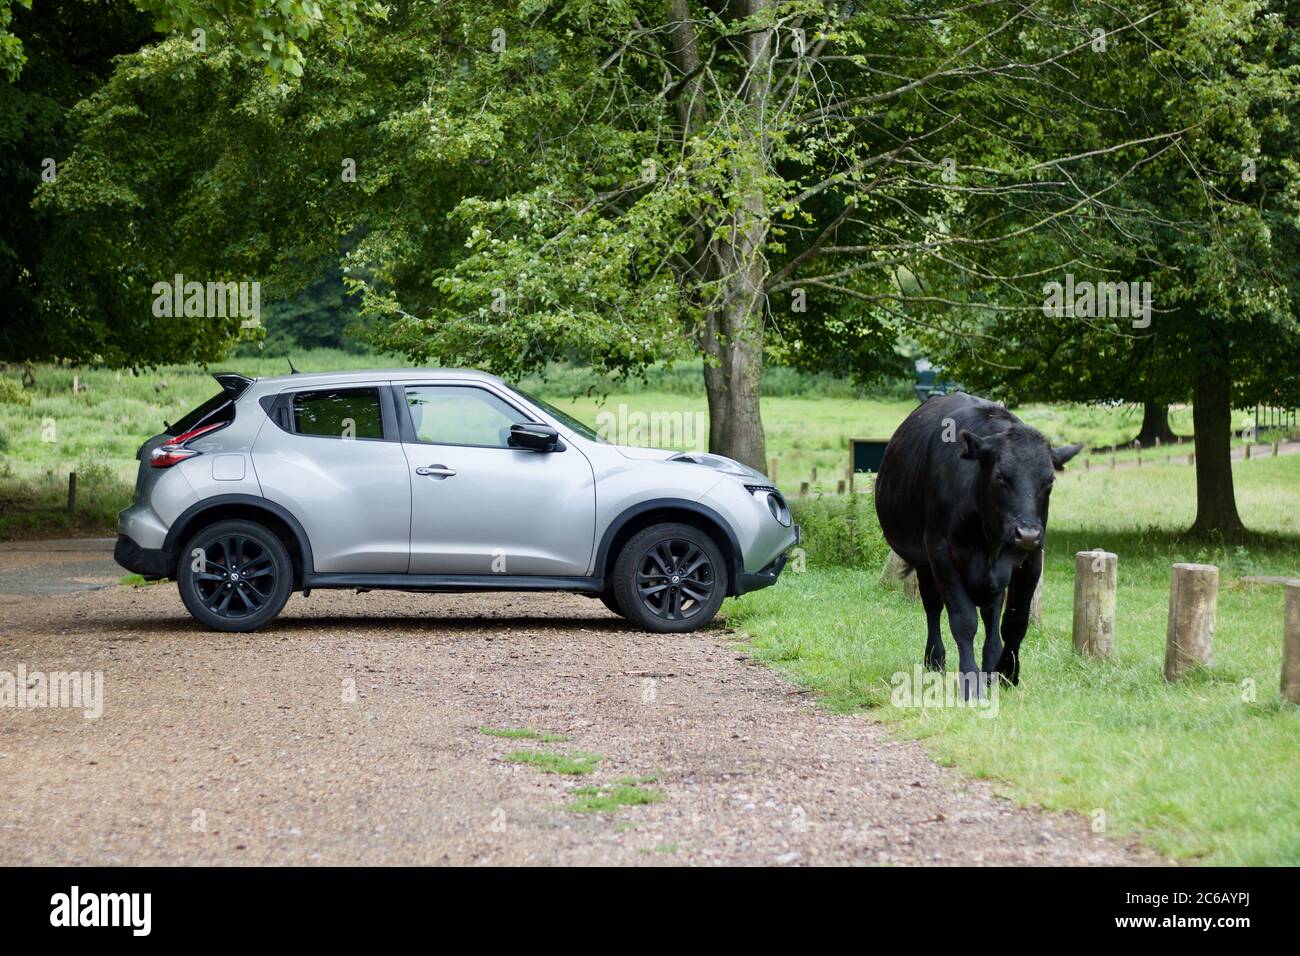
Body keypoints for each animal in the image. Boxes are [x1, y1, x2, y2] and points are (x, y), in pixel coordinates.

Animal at [874, 393, 1082, 695]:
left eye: (1050, 481)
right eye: (1000, 477)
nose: (1027, 533)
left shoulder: (1033, 558)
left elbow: (1014, 622)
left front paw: (1006, 672)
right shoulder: (941, 553)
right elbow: (963, 620)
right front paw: (970, 680)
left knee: (991, 614)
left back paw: (991, 663)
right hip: (924, 563)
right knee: (933, 606)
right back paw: (935, 659)